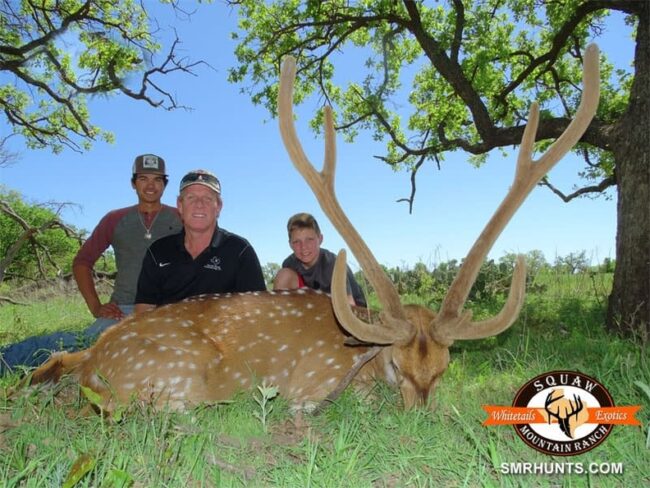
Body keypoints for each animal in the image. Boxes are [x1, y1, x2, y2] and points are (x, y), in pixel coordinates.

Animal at [28, 44, 600, 414]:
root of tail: (94, 356)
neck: (360, 354)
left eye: (442, 370)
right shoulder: (314, 380)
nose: (418, 419)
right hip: (176, 373)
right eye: (397, 368)